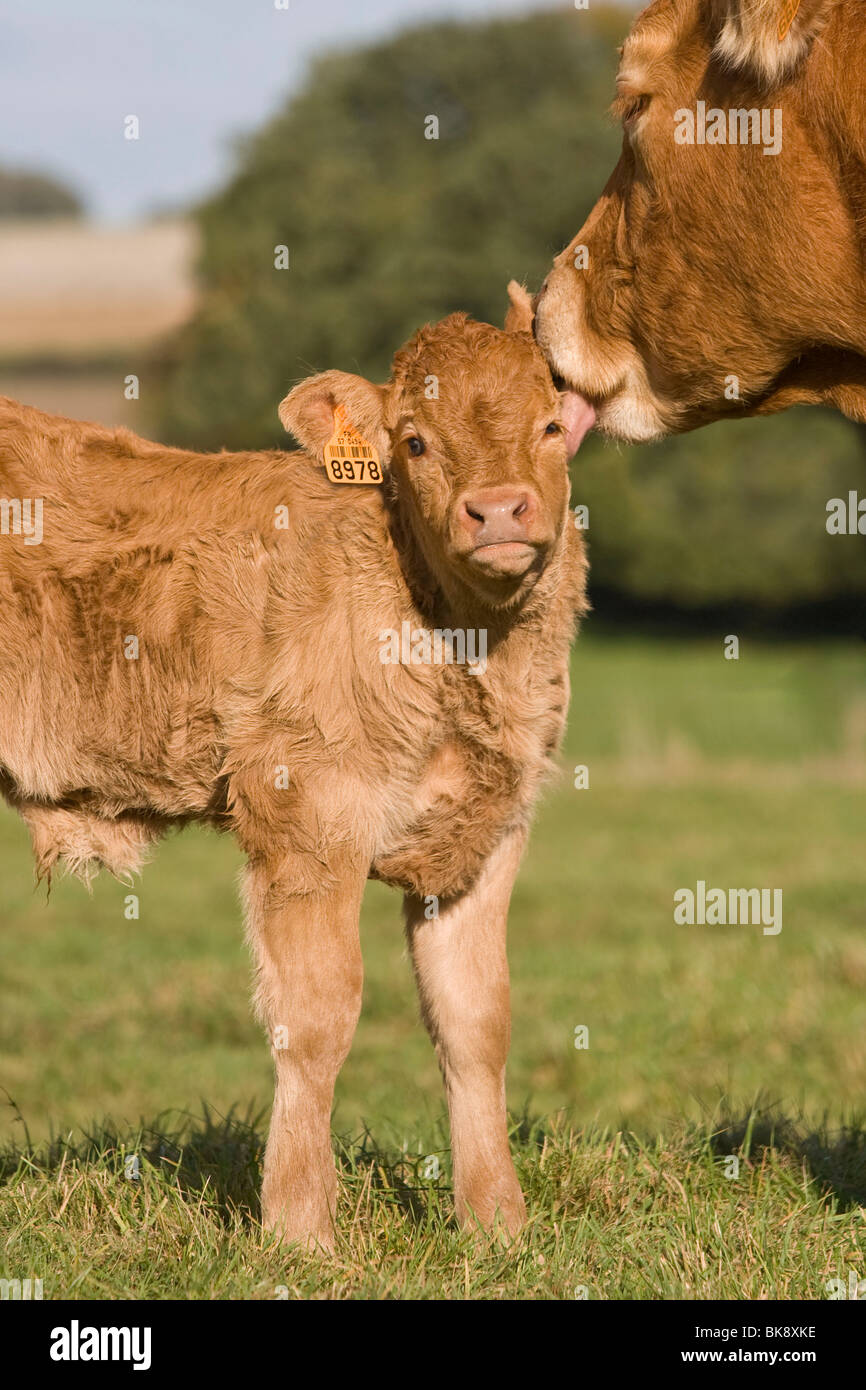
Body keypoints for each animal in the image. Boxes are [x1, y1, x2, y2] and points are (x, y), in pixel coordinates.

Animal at [0, 311, 593, 1249]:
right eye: (414, 442)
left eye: (548, 426)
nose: (499, 509)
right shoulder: (309, 813)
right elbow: (318, 1017)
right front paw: (301, 1229)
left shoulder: (489, 831)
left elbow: (475, 1020)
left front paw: (497, 1224)